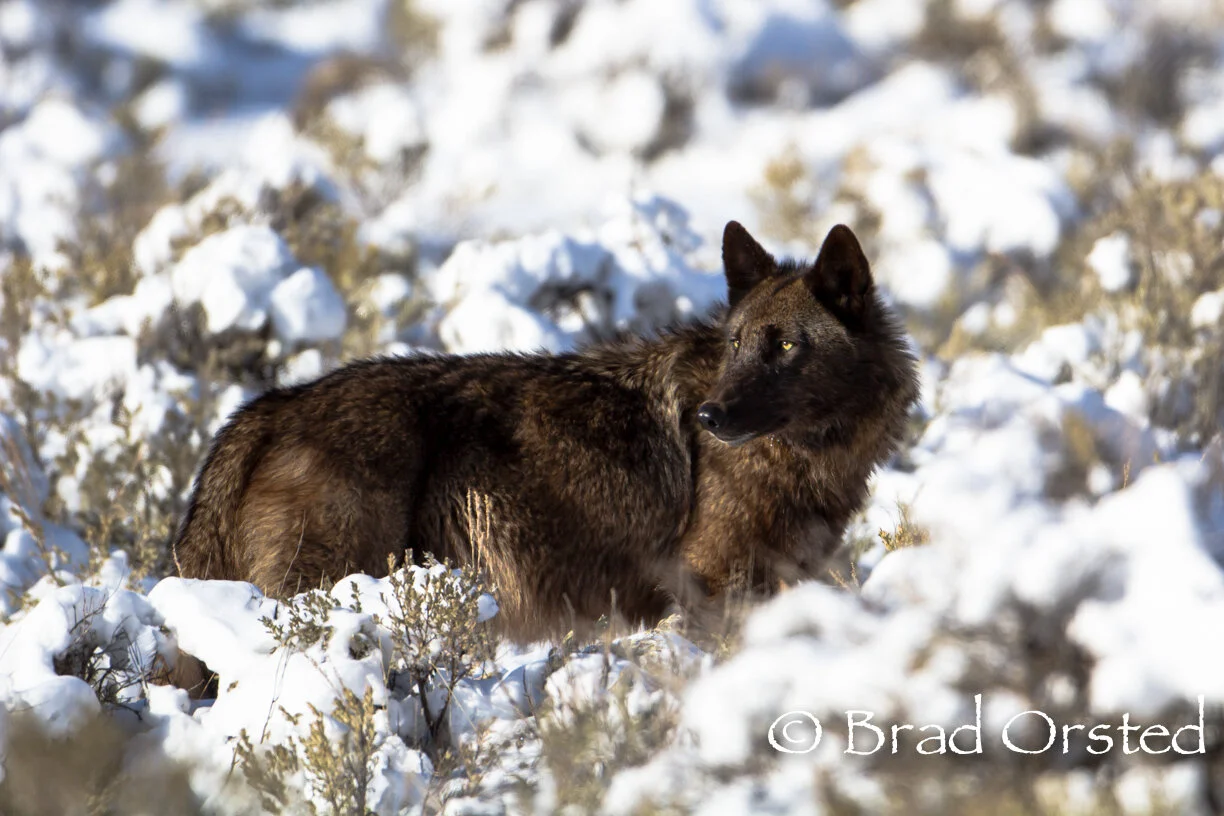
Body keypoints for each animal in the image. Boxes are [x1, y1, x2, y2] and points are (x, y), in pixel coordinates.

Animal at [174, 221, 919, 641]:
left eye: (786, 346)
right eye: (736, 345)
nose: (710, 416)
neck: (802, 463)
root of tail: (264, 409)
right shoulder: (709, 586)